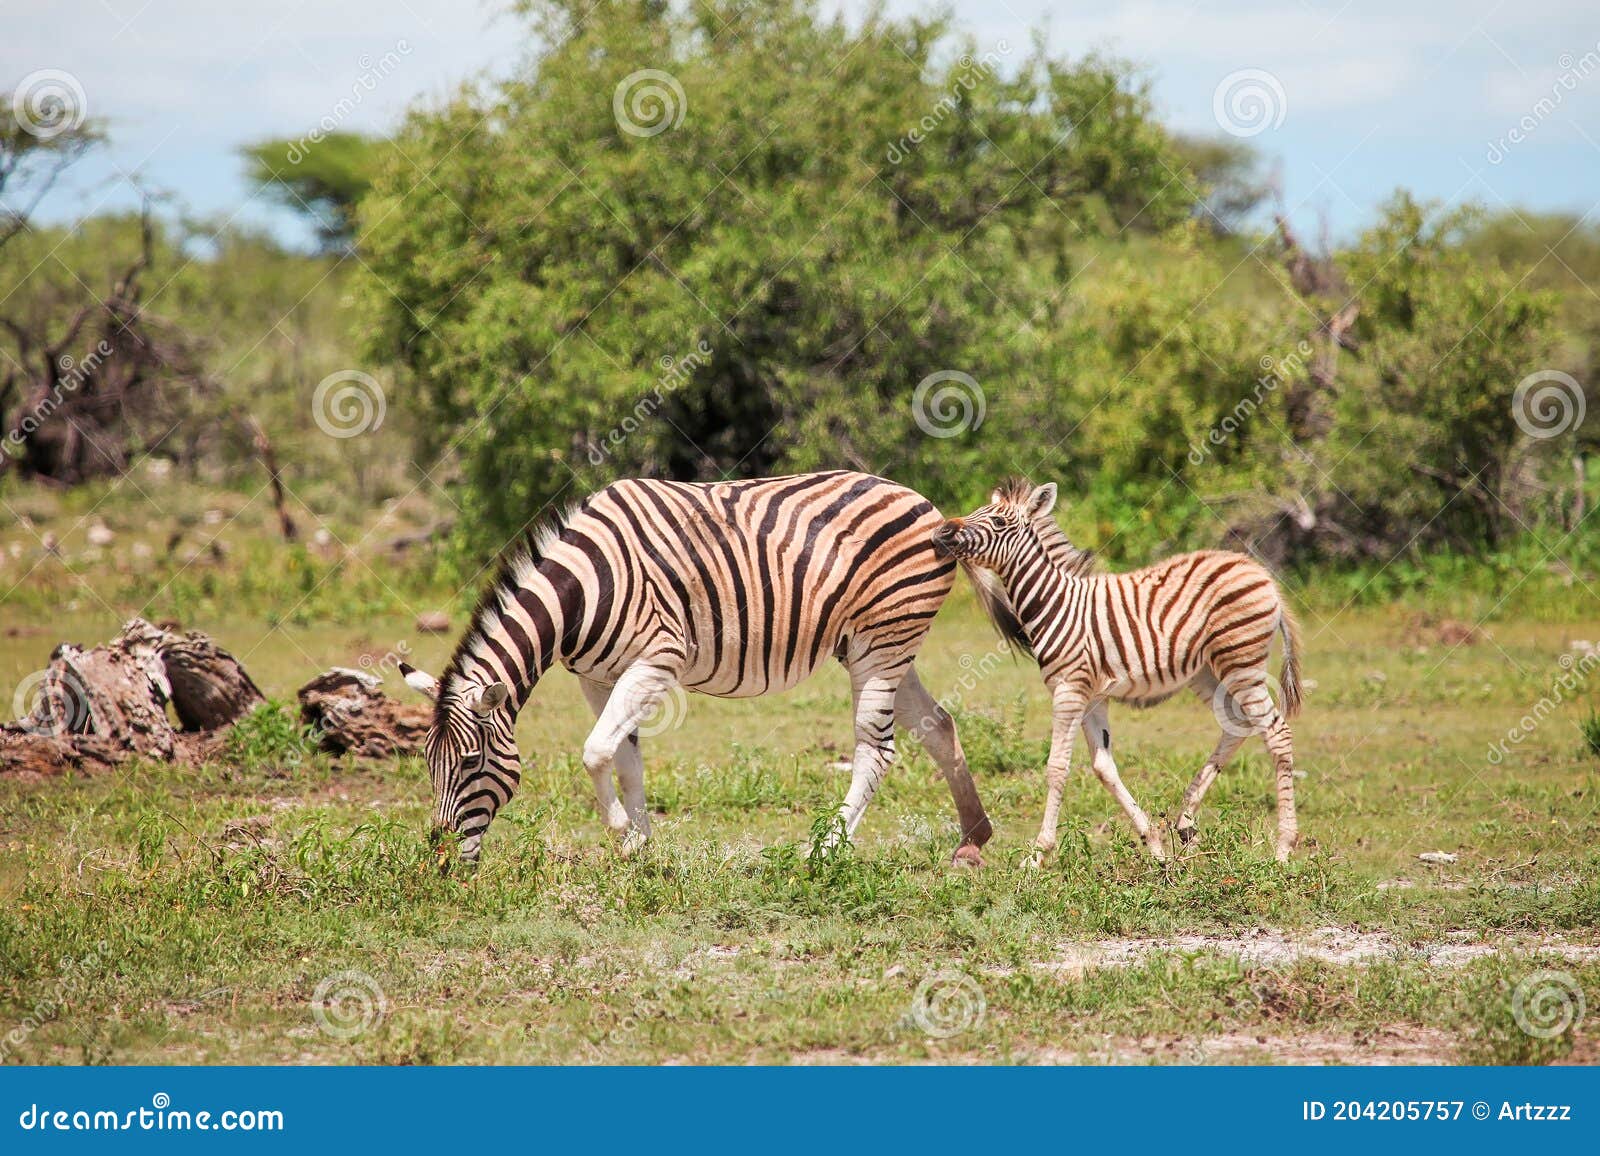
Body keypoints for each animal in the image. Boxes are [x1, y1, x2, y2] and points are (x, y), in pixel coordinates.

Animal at [399, 470, 1022, 867]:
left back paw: (823, 852)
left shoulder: (657, 658)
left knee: (877, 748)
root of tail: (935, 512)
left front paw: (622, 833)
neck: (582, 591)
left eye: (472, 763)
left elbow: (596, 752)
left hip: (881, 641)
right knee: (937, 725)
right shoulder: (598, 677)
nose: (443, 858)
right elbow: (626, 759)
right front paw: (641, 849)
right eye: (428, 763)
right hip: (884, 644)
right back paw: (972, 840)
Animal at [931, 478, 1305, 862]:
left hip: (1241, 661)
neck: (1056, 603)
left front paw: (1037, 855)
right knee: (1237, 724)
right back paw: (1185, 822)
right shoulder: (1092, 697)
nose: (942, 532)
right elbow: (1103, 767)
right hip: (1208, 672)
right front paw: (1154, 844)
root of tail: (1259, 572)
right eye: (977, 510)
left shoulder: (1069, 689)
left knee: (1276, 732)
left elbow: (1056, 766)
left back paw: (1283, 848)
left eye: (999, 522)